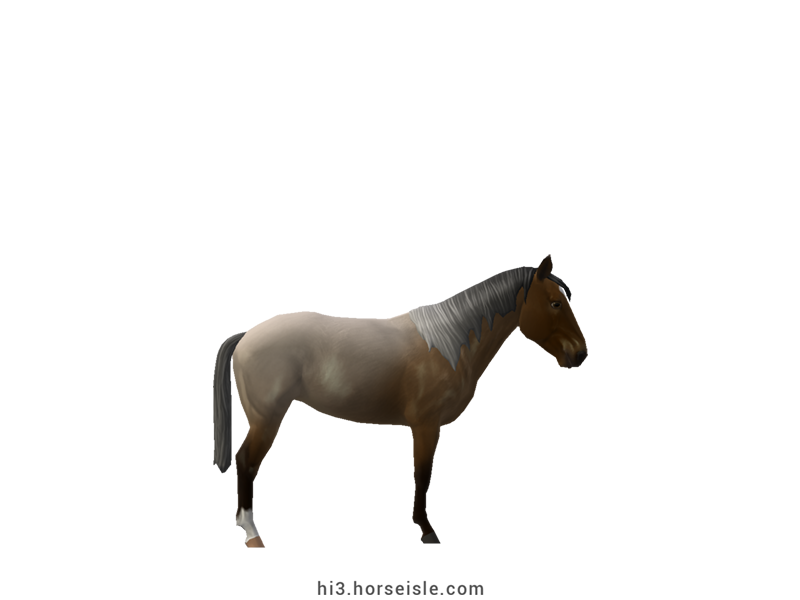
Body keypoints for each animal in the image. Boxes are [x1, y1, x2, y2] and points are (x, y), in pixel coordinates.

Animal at [213, 257, 587, 539]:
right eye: (555, 302)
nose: (579, 353)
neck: (449, 345)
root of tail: (246, 336)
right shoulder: (426, 424)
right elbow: (423, 473)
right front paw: (426, 529)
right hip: (265, 419)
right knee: (246, 461)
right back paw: (250, 530)